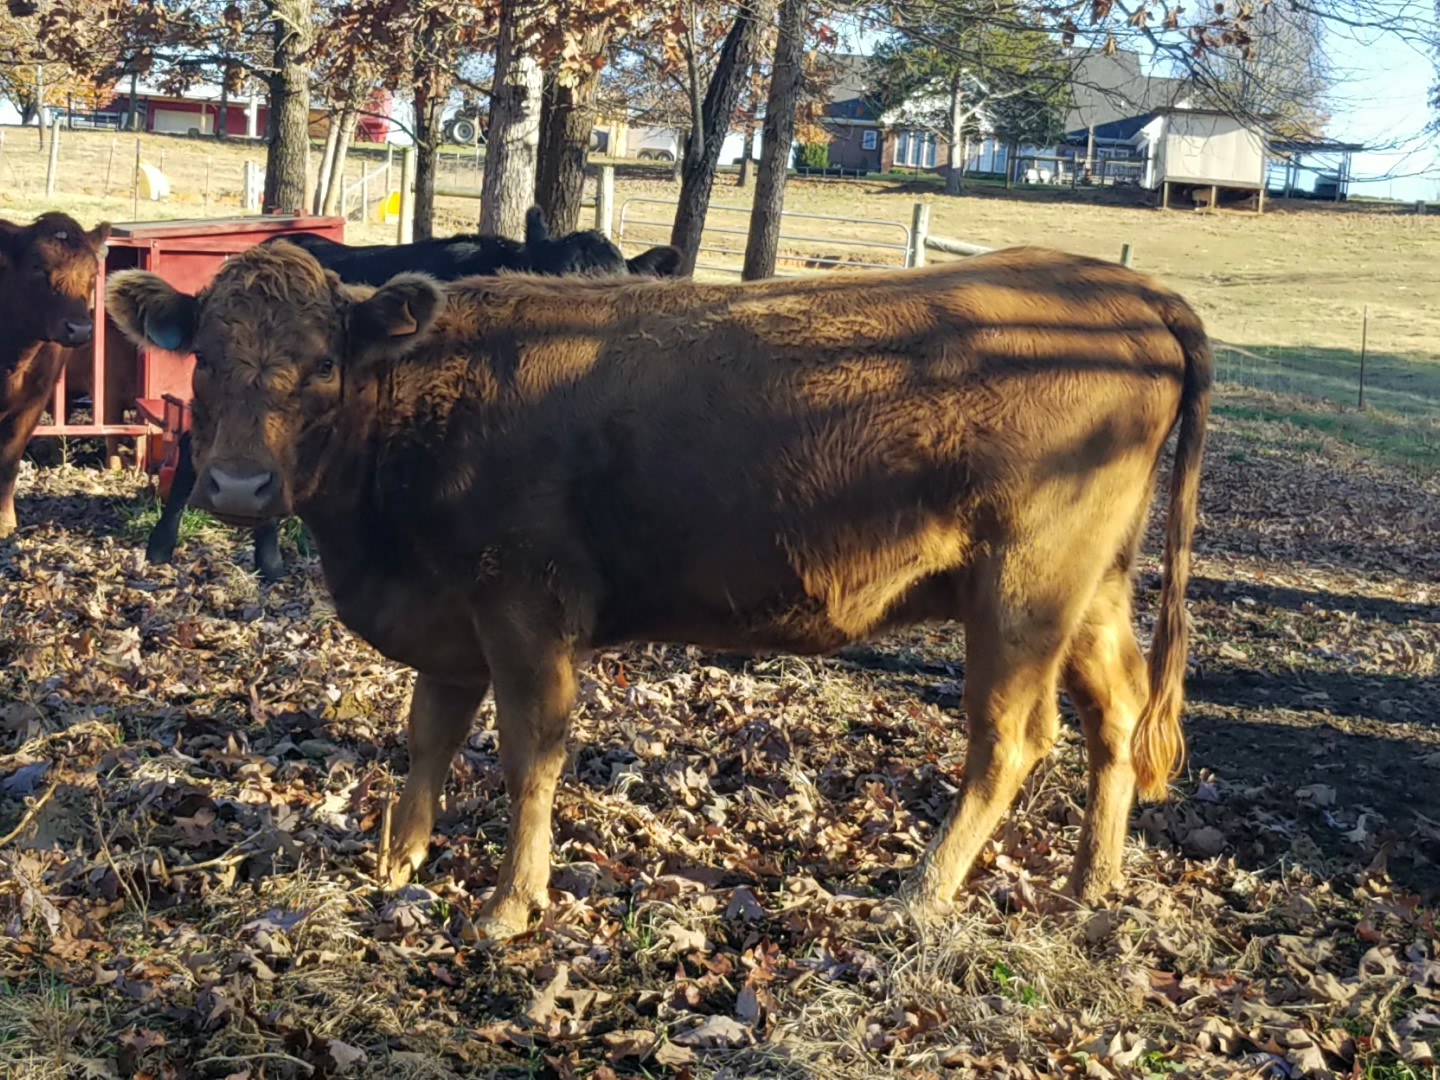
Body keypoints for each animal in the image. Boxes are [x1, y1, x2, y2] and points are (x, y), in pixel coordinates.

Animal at [0, 213, 112, 539]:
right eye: (37, 267)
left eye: (93, 271)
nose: (80, 328)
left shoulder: (33, 402)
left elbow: (8, 461)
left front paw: (5, 521)